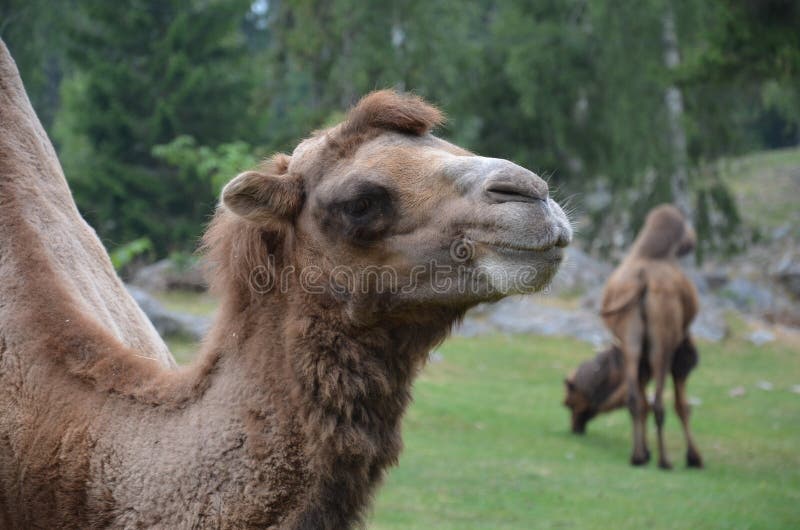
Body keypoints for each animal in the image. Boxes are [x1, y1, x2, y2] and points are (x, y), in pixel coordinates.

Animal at [598, 204, 703, 469]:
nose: (693, 239)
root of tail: (642, 279)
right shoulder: (678, 353)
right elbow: (682, 404)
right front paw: (694, 457)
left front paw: (645, 452)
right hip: (661, 346)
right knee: (659, 401)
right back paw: (664, 460)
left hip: (630, 342)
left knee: (636, 399)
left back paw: (637, 456)